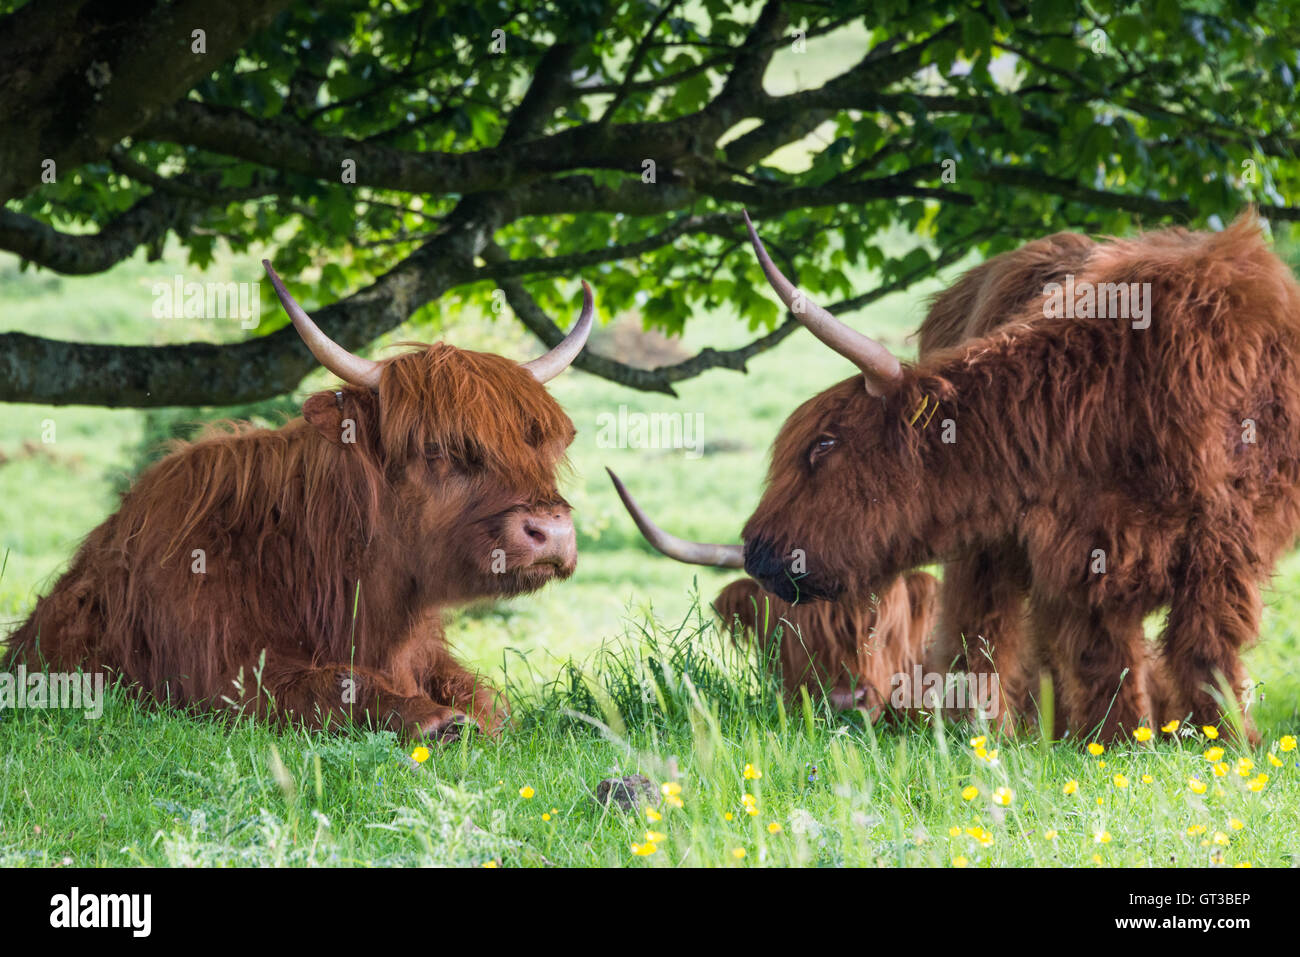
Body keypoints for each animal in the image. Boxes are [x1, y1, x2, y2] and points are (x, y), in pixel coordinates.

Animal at [2, 264, 595, 741]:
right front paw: (436, 720)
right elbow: (336, 685)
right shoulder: (223, 672)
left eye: (544, 444)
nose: (551, 531)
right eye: (436, 448)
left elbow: (491, 702)